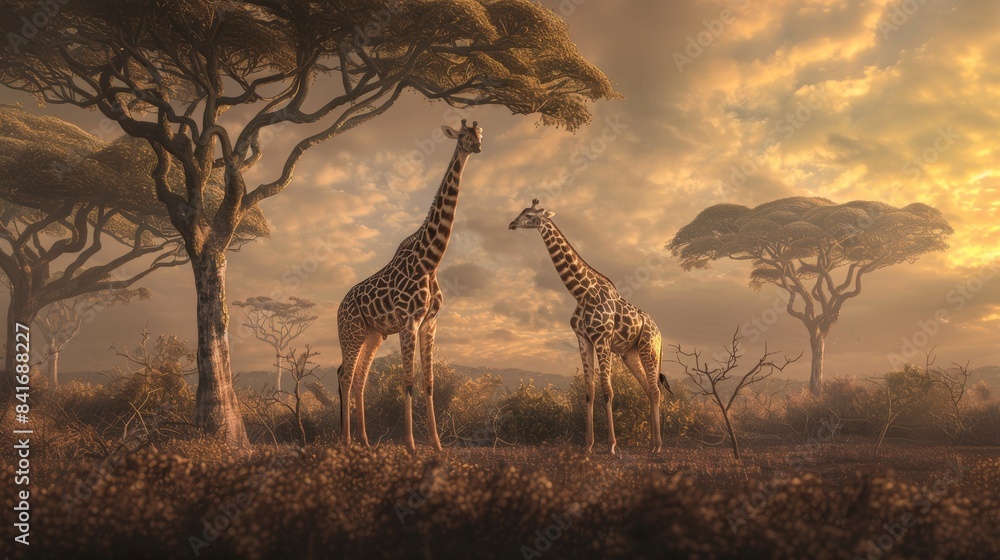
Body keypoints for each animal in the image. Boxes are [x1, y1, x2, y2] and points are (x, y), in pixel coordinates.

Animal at [337, 119, 483, 452]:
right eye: (462, 135)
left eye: (479, 133)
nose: (478, 146)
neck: (430, 260)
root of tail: (338, 308)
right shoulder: (408, 322)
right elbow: (408, 382)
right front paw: (411, 444)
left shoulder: (430, 322)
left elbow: (429, 383)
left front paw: (437, 444)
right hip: (351, 332)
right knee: (346, 376)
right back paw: (347, 440)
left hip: (372, 334)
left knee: (359, 377)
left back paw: (364, 440)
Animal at [509, 199, 672, 454]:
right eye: (522, 212)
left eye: (529, 214)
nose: (512, 224)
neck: (582, 293)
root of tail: (661, 334)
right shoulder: (583, 339)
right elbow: (589, 391)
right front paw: (588, 445)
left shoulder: (602, 340)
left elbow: (607, 391)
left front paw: (612, 446)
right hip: (630, 353)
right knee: (649, 390)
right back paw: (652, 444)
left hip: (649, 348)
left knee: (655, 390)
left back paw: (657, 446)